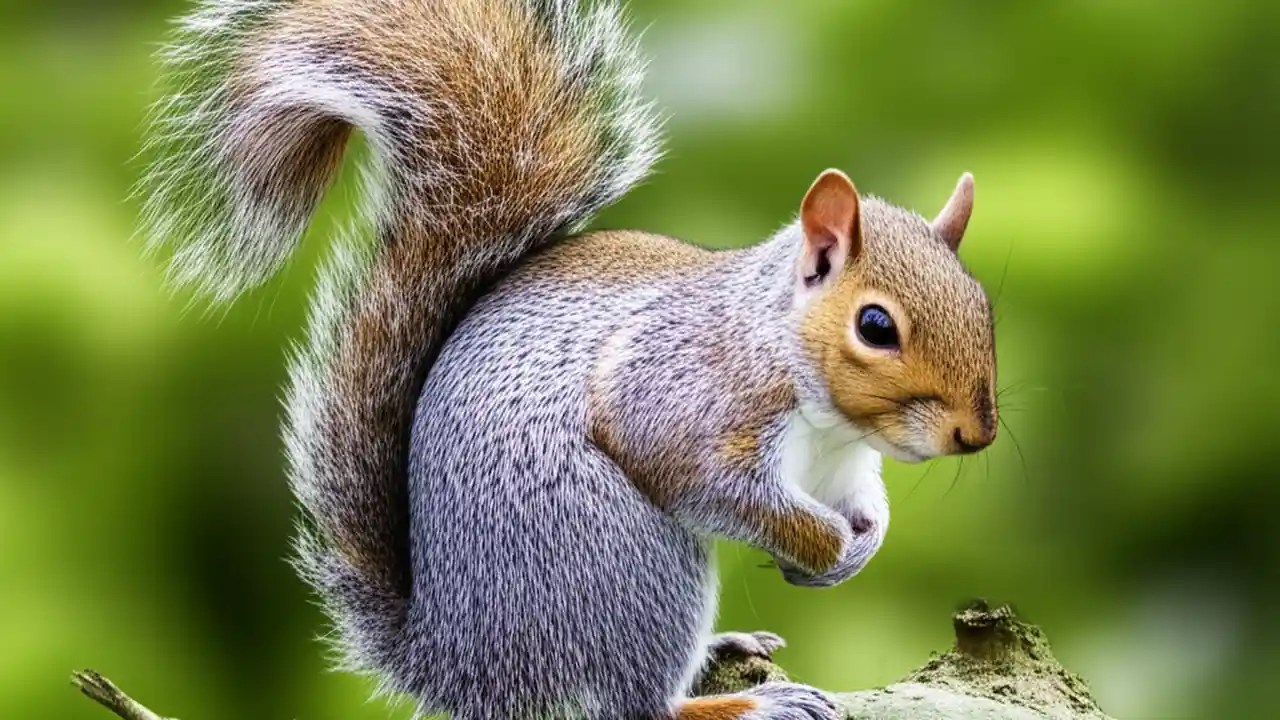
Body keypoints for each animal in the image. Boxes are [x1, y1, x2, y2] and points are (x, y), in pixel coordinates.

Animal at [139, 0, 999, 718]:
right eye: (876, 325)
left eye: (983, 302)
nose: (976, 435)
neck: (821, 412)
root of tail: (459, 669)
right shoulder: (683, 389)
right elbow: (701, 475)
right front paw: (823, 547)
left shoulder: (844, 468)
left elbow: (867, 506)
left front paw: (861, 546)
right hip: (621, 552)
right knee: (634, 707)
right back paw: (743, 705)